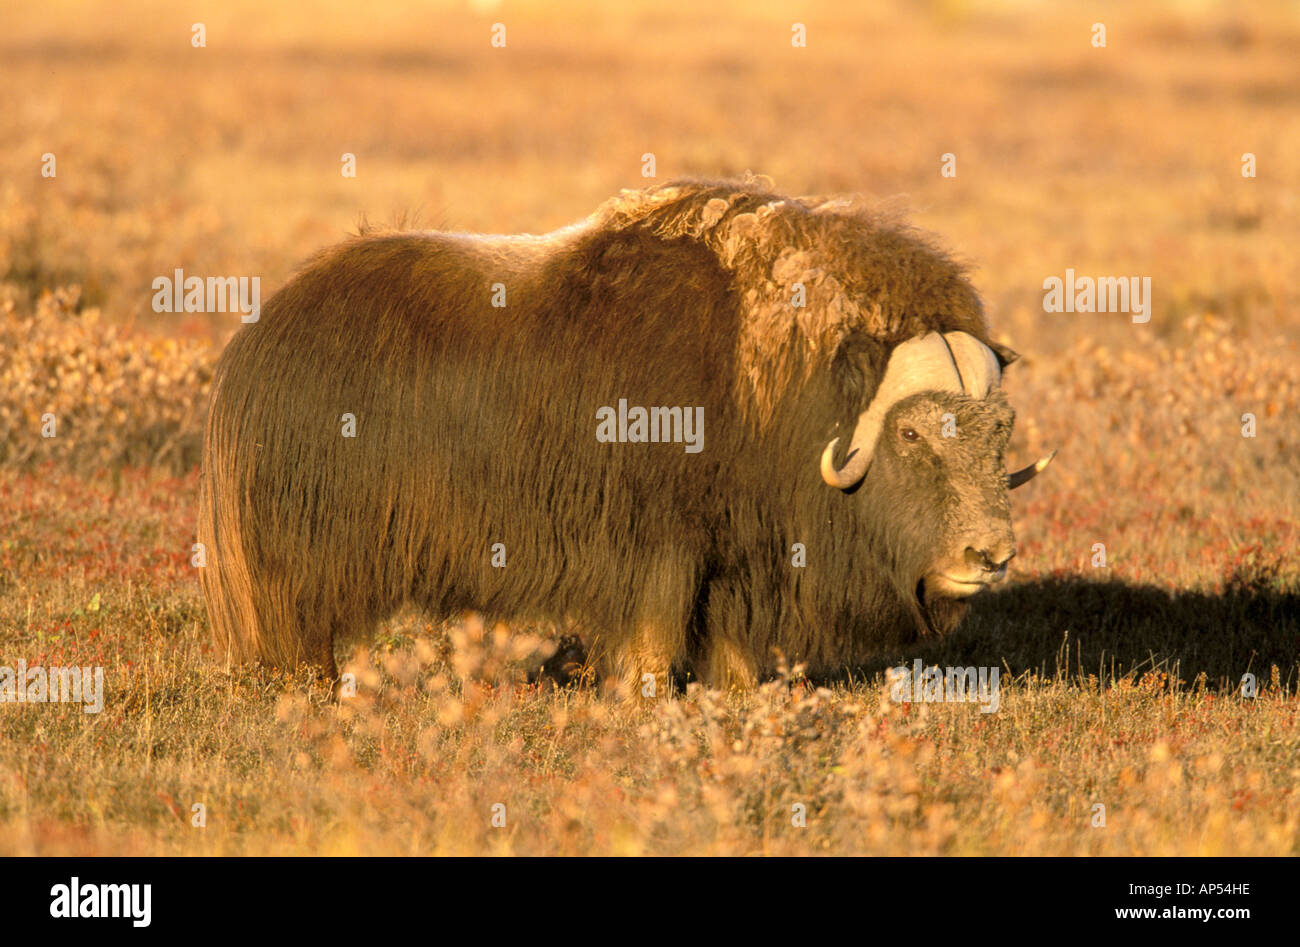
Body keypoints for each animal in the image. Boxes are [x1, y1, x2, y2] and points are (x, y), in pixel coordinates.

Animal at [198, 177, 1052, 695]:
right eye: (911, 432)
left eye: (1000, 429)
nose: (989, 557)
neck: (772, 379)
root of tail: (262, 331)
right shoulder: (660, 545)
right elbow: (651, 634)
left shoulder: (734, 555)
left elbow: (729, 640)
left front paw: (733, 699)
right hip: (308, 548)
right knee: (303, 621)